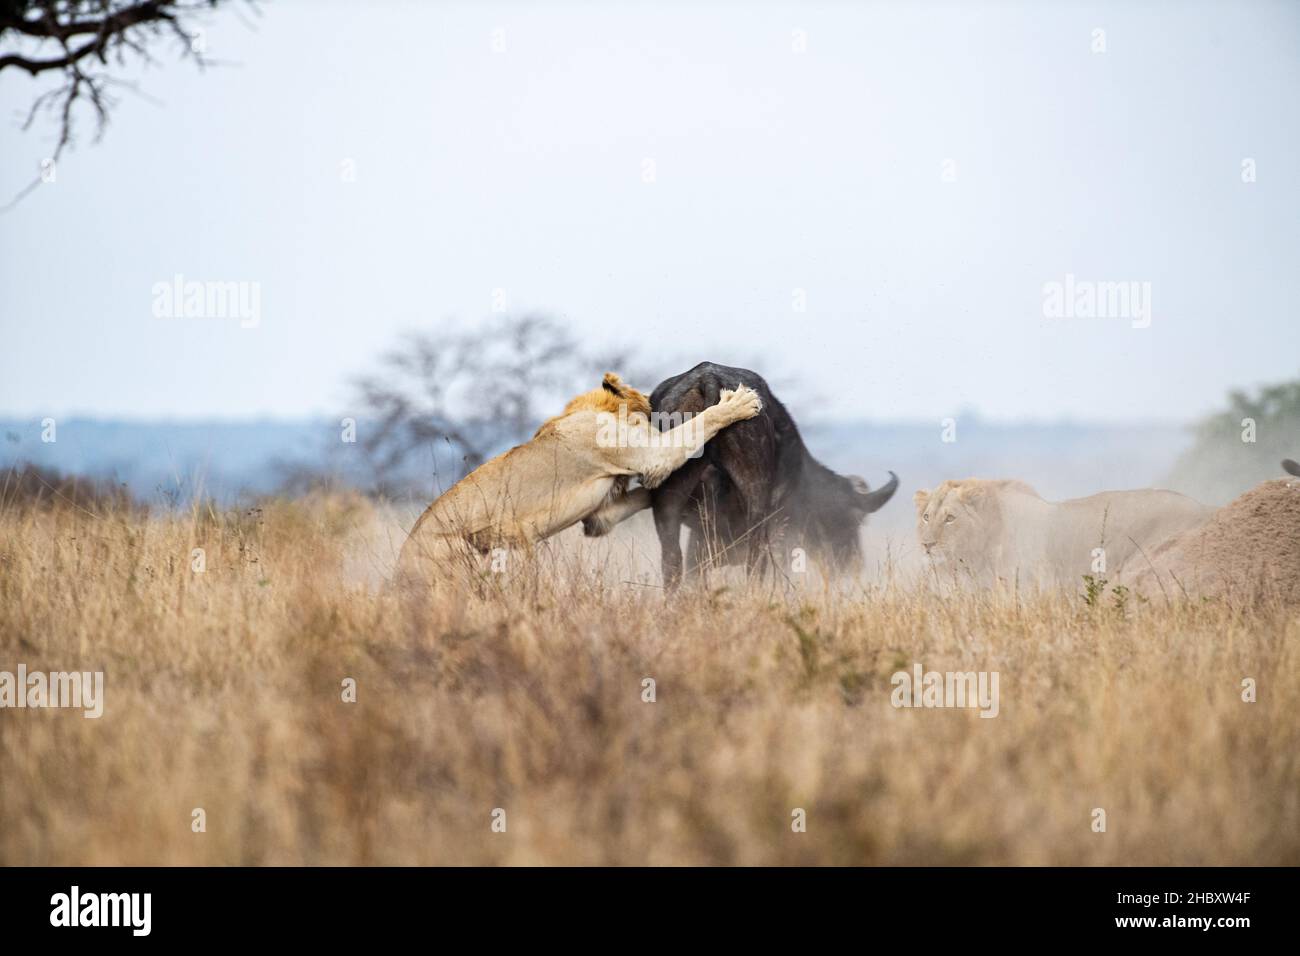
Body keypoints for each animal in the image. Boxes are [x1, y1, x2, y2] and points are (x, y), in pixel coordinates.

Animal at [396, 372, 762, 584]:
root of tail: (403, 557)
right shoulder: (649, 454)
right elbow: (699, 424)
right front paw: (739, 402)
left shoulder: (601, 516)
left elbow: (639, 497)